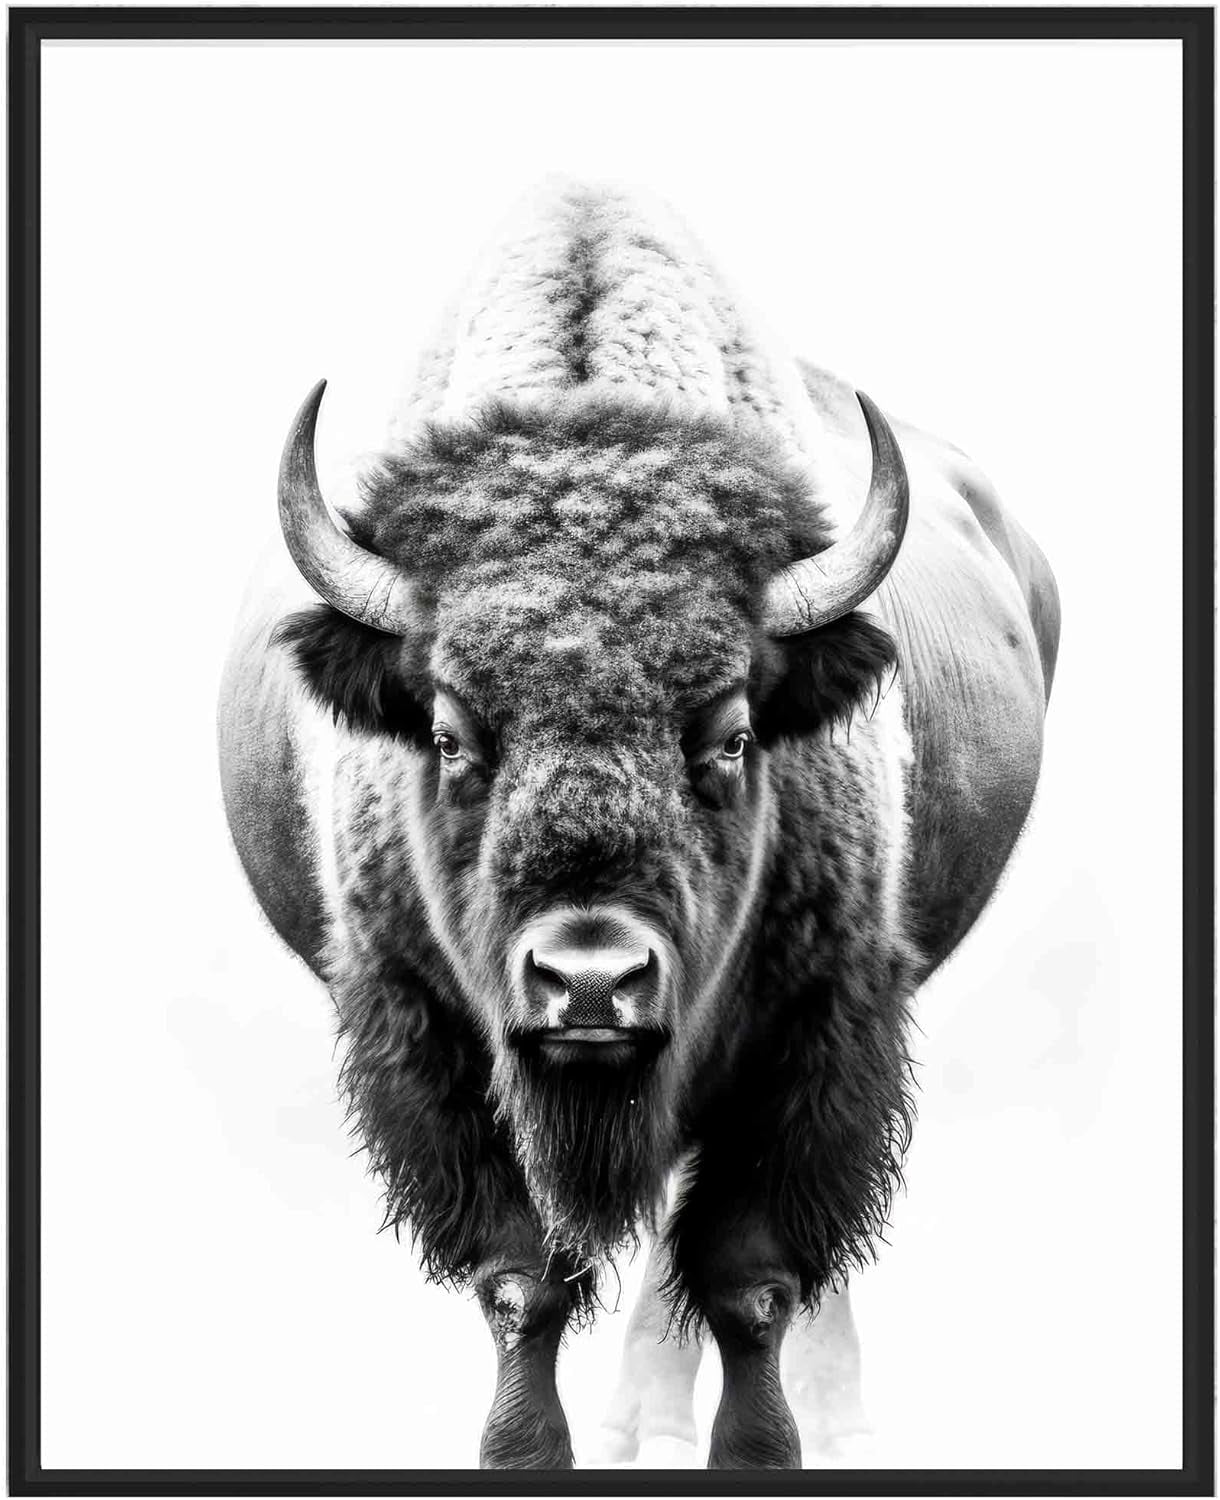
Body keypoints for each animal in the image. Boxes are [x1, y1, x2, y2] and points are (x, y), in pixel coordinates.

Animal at [218, 182, 1058, 1468]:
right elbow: (525, 1281)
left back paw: (825, 1418)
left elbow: (749, 1279)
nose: (590, 982)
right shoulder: (431, 1046)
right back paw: (637, 1427)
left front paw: (763, 1452)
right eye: (449, 733)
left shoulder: (819, 1030)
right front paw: (531, 1453)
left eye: (730, 734)